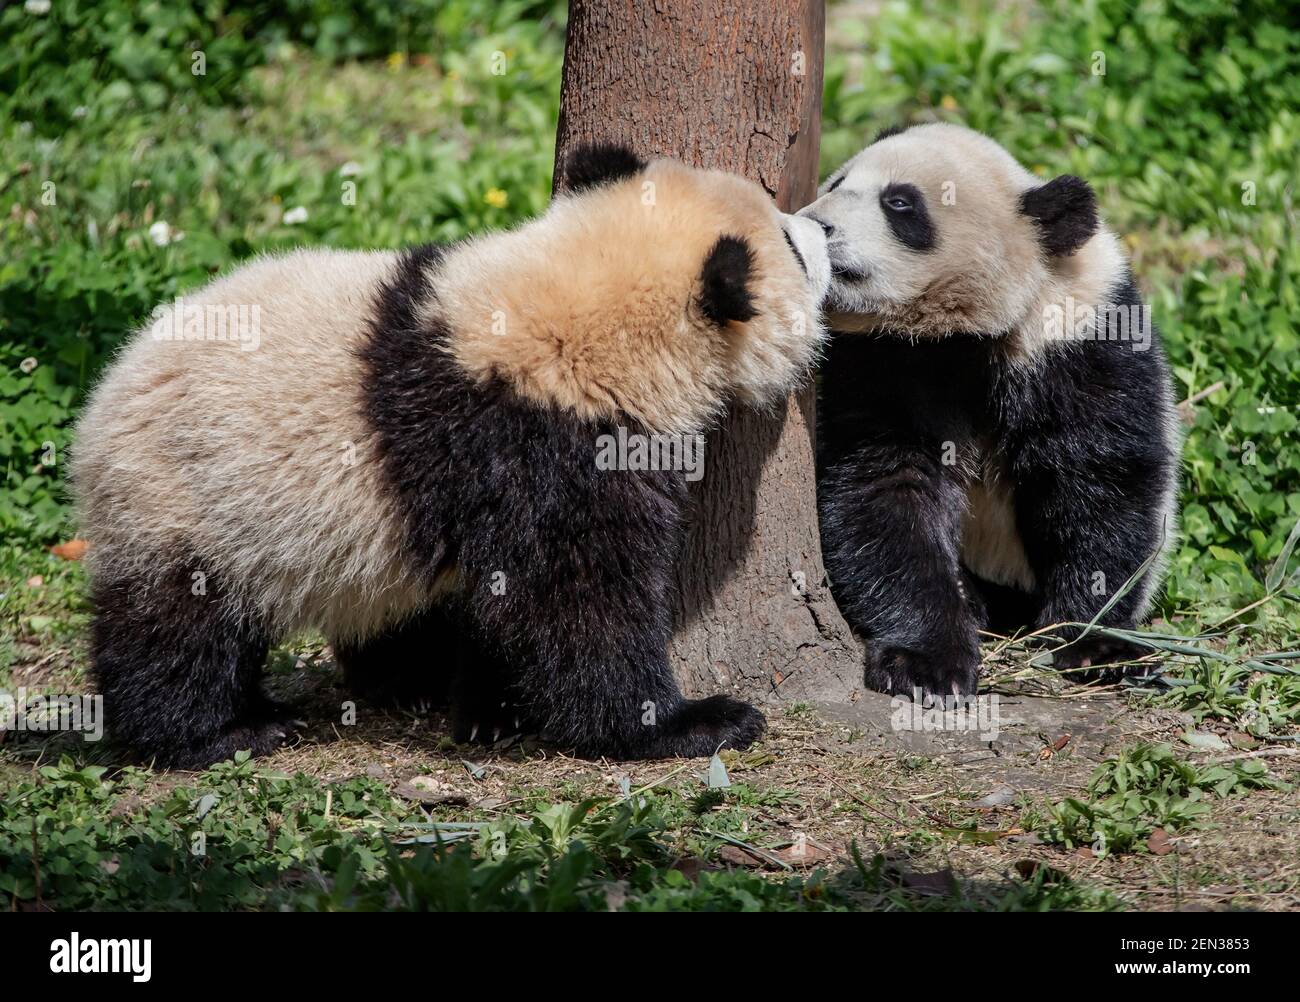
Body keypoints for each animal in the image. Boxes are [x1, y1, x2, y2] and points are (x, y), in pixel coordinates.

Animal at [71, 144, 832, 769]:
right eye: (789, 246)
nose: (823, 233)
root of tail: (100, 403)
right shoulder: (534, 448)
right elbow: (574, 602)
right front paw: (689, 722)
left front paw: (491, 709)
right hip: (184, 493)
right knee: (178, 626)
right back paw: (218, 732)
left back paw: (399, 680)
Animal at [800, 123, 1180, 696]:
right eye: (838, 181)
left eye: (899, 202)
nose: (813, 226)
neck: (955, 329)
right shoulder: (877, 361)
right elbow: (885, 487)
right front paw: (927, 662)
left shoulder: (1078, 336)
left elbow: (1103, 480)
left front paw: (1095, 643)